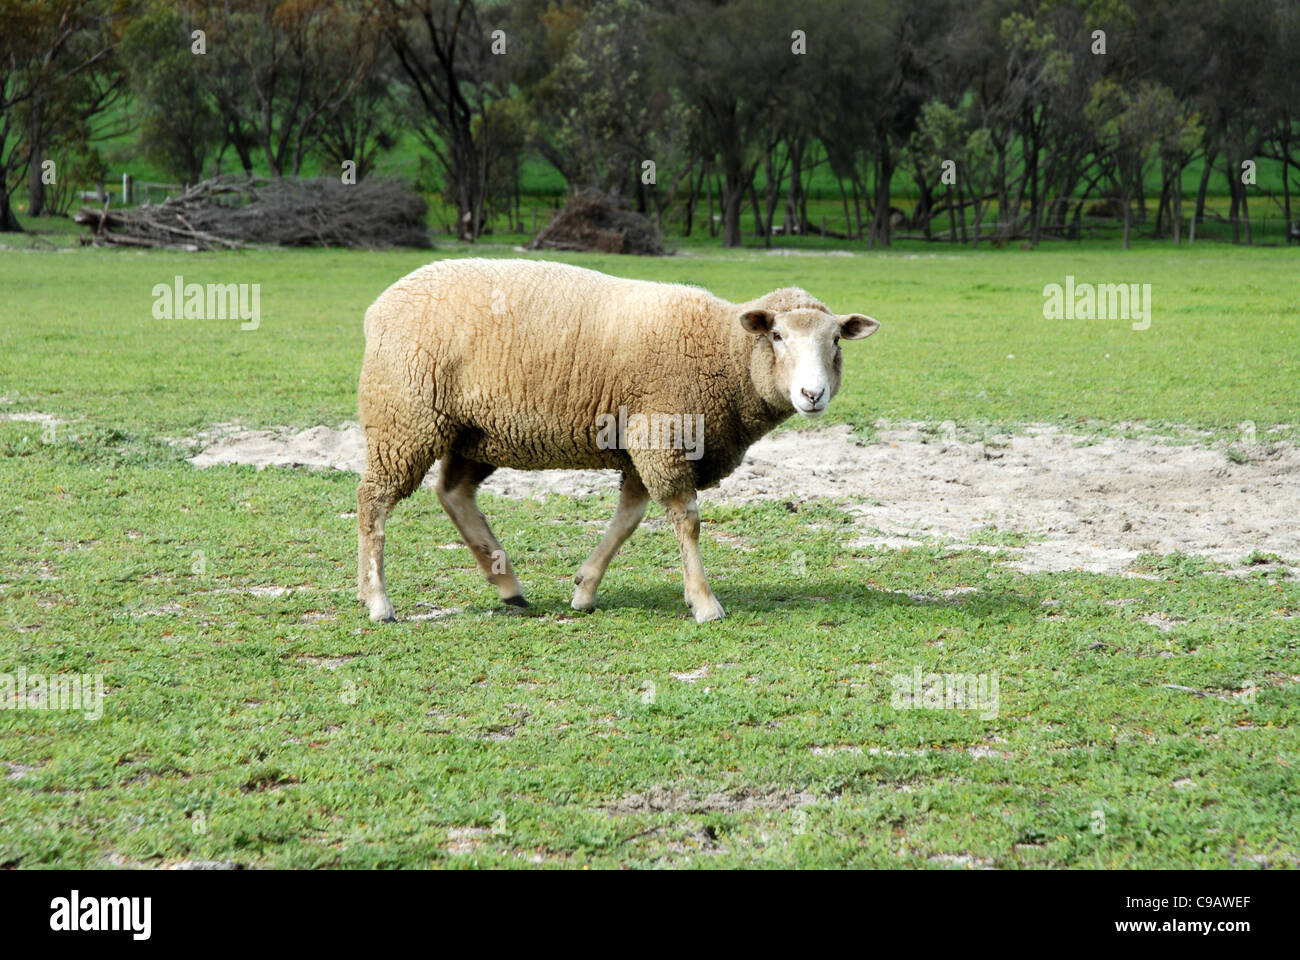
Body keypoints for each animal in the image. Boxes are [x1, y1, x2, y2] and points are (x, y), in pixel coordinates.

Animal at [356, 258, 880, 623]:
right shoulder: (662, 435)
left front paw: (584, 590)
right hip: (403, 421)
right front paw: (705, 603)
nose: (812, 394)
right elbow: (687, 522)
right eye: (776, 335)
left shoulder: (642, 446)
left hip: (476, 432)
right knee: (373, 502)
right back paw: (378, 600)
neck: (725, 355)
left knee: (453, 492)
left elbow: (627, 520)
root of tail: (378, 307)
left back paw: (506, 584)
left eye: (836, 340)